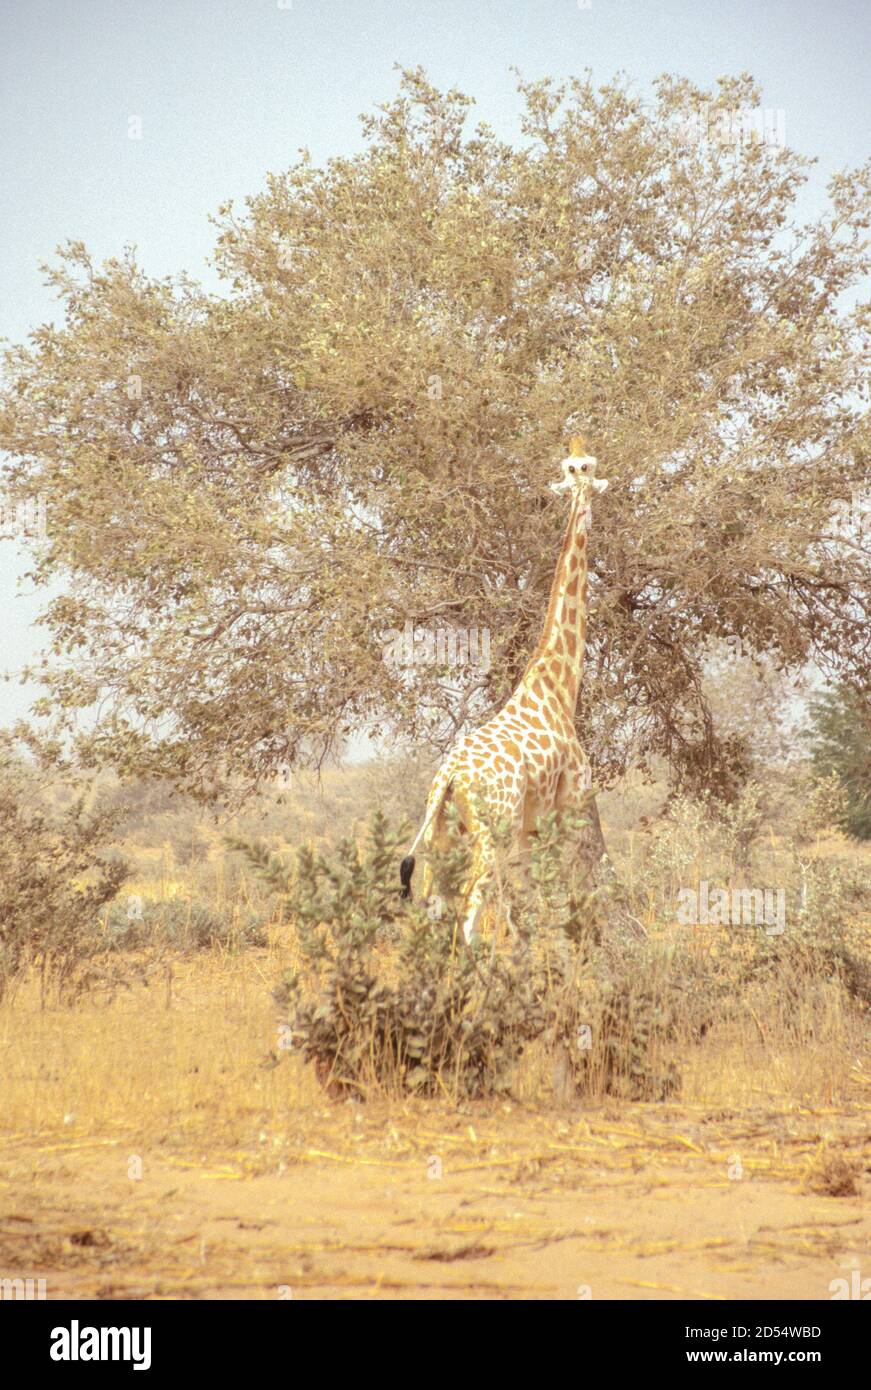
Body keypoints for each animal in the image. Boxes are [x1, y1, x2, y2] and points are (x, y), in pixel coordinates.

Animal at [400, 437, 609, 943]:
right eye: (581, 466)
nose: (581, 484)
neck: (559, 684)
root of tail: (449, 777)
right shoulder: (568, 808)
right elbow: (562, 897)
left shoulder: (533, 827)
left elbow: (533, 907)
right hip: (492, 832)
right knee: (470, 915)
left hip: (445, 834)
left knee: (433, 905)